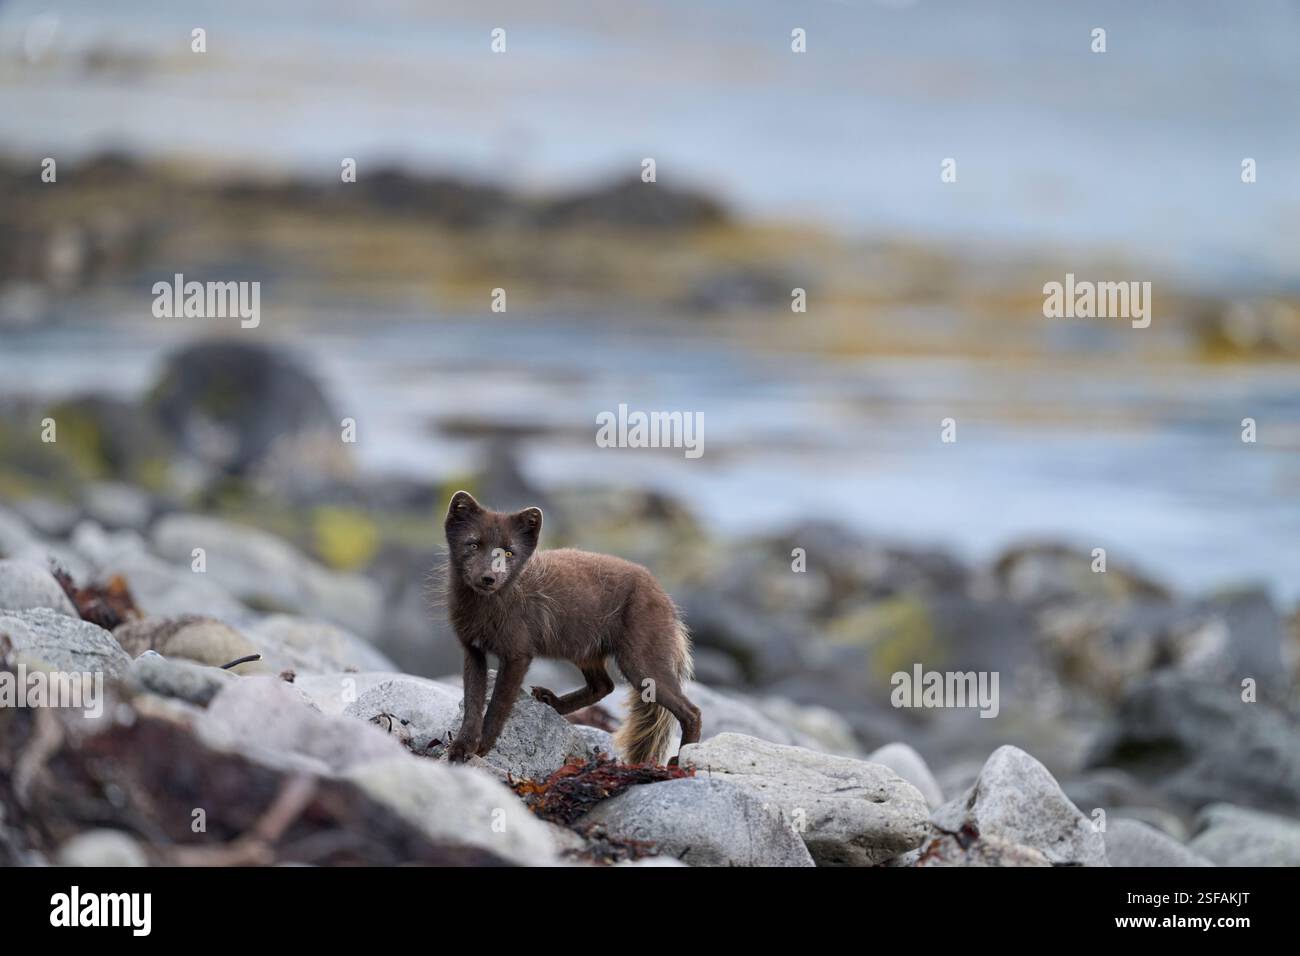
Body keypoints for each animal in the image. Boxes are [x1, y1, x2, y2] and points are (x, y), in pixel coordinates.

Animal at [441, 490, 701, 766]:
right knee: (604, 686)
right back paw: (552, 702)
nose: (489, 578)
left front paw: (482, 747)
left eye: (509, 553)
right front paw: (461, 747)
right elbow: (472, 704)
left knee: (691, 711)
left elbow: (497, 707)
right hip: (584, 651)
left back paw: (683, 758)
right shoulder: (473, 650)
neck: (486, 608)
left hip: (639, 665)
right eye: (473, 545)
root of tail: (665, 597)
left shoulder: (517, 656)